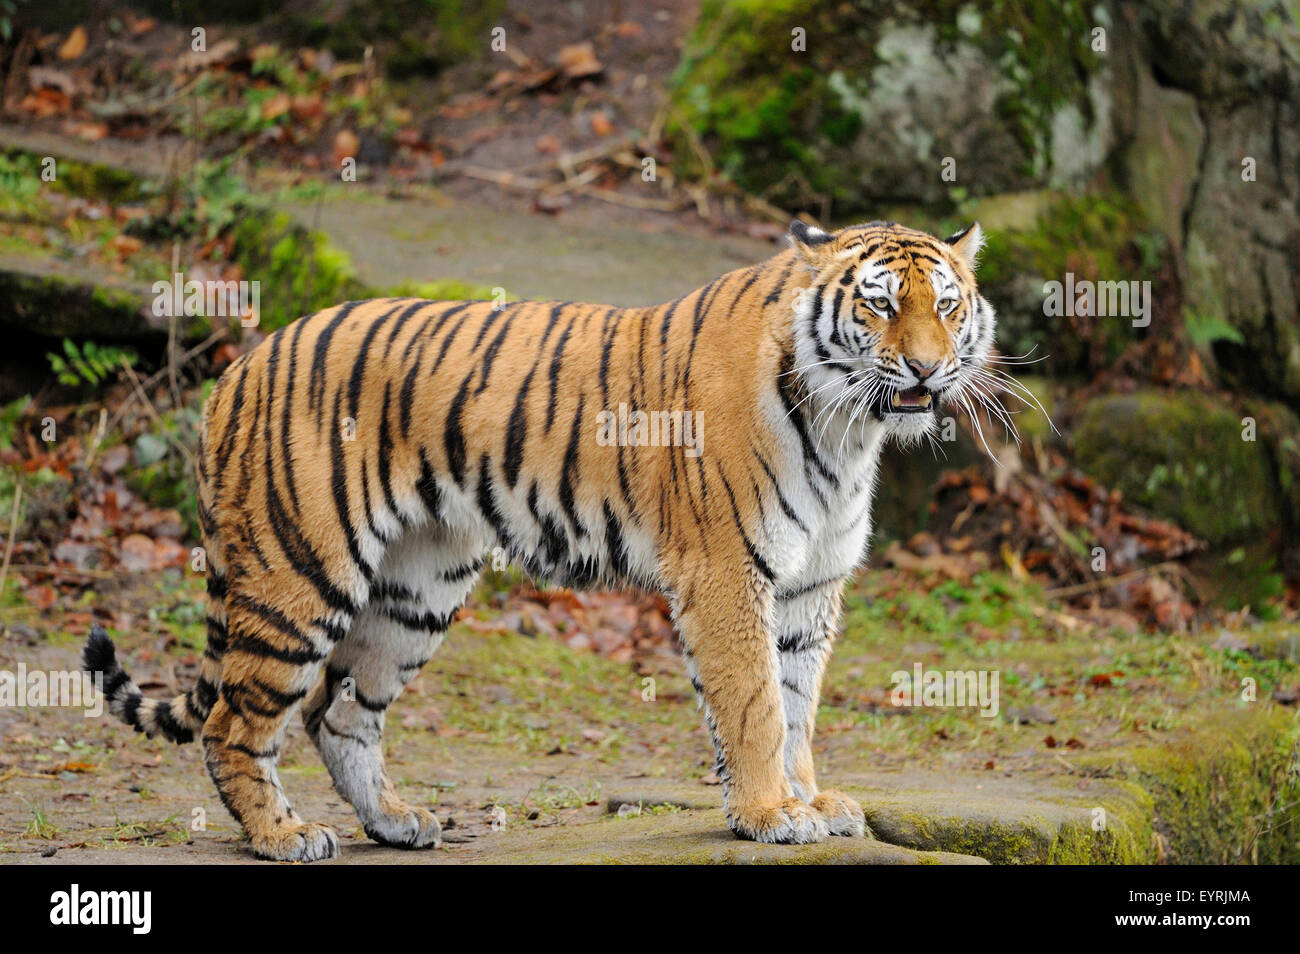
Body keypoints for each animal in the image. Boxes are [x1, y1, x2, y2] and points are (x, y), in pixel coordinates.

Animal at [83, 218, 998, 861]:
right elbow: (756, 705)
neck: (849, 431)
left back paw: (398, 823)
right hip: (300, 575)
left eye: (948, 306)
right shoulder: (727, 573)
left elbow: (799, 704)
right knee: (235, 721)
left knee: (336, 712)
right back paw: (283, 836)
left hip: (419, 587)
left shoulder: (811, 585)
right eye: (881, 304)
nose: (925, 369)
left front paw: (810, 801)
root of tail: (242, 362)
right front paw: (771, 814)